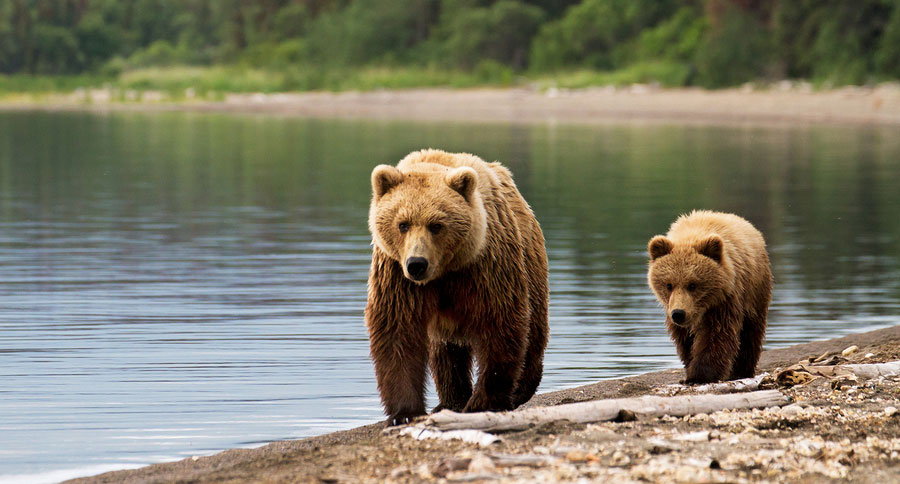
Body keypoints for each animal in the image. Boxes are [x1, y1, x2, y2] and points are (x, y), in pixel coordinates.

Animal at [366, 149, 549, 426]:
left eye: (436, 225)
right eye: (402, 224)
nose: (417, 264)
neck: (444, 271)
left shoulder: (483, 267)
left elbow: (500, 323)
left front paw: (484, 402)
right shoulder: (397, 276)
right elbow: (397, 333)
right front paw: (404, 412)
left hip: (531, 264)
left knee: (533, 331)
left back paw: (521, 388)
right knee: (444, 353)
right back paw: (449, 401)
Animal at [647, 210, 772, 384]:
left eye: (693, 284)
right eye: (668, 285)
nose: (678, 314)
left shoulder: (724, 300)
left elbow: (716, 334)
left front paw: (700, 375)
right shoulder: (674, 308)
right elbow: (685, 340)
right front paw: (690, 366)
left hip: (755, 291)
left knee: (751, 331)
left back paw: (741, 371)